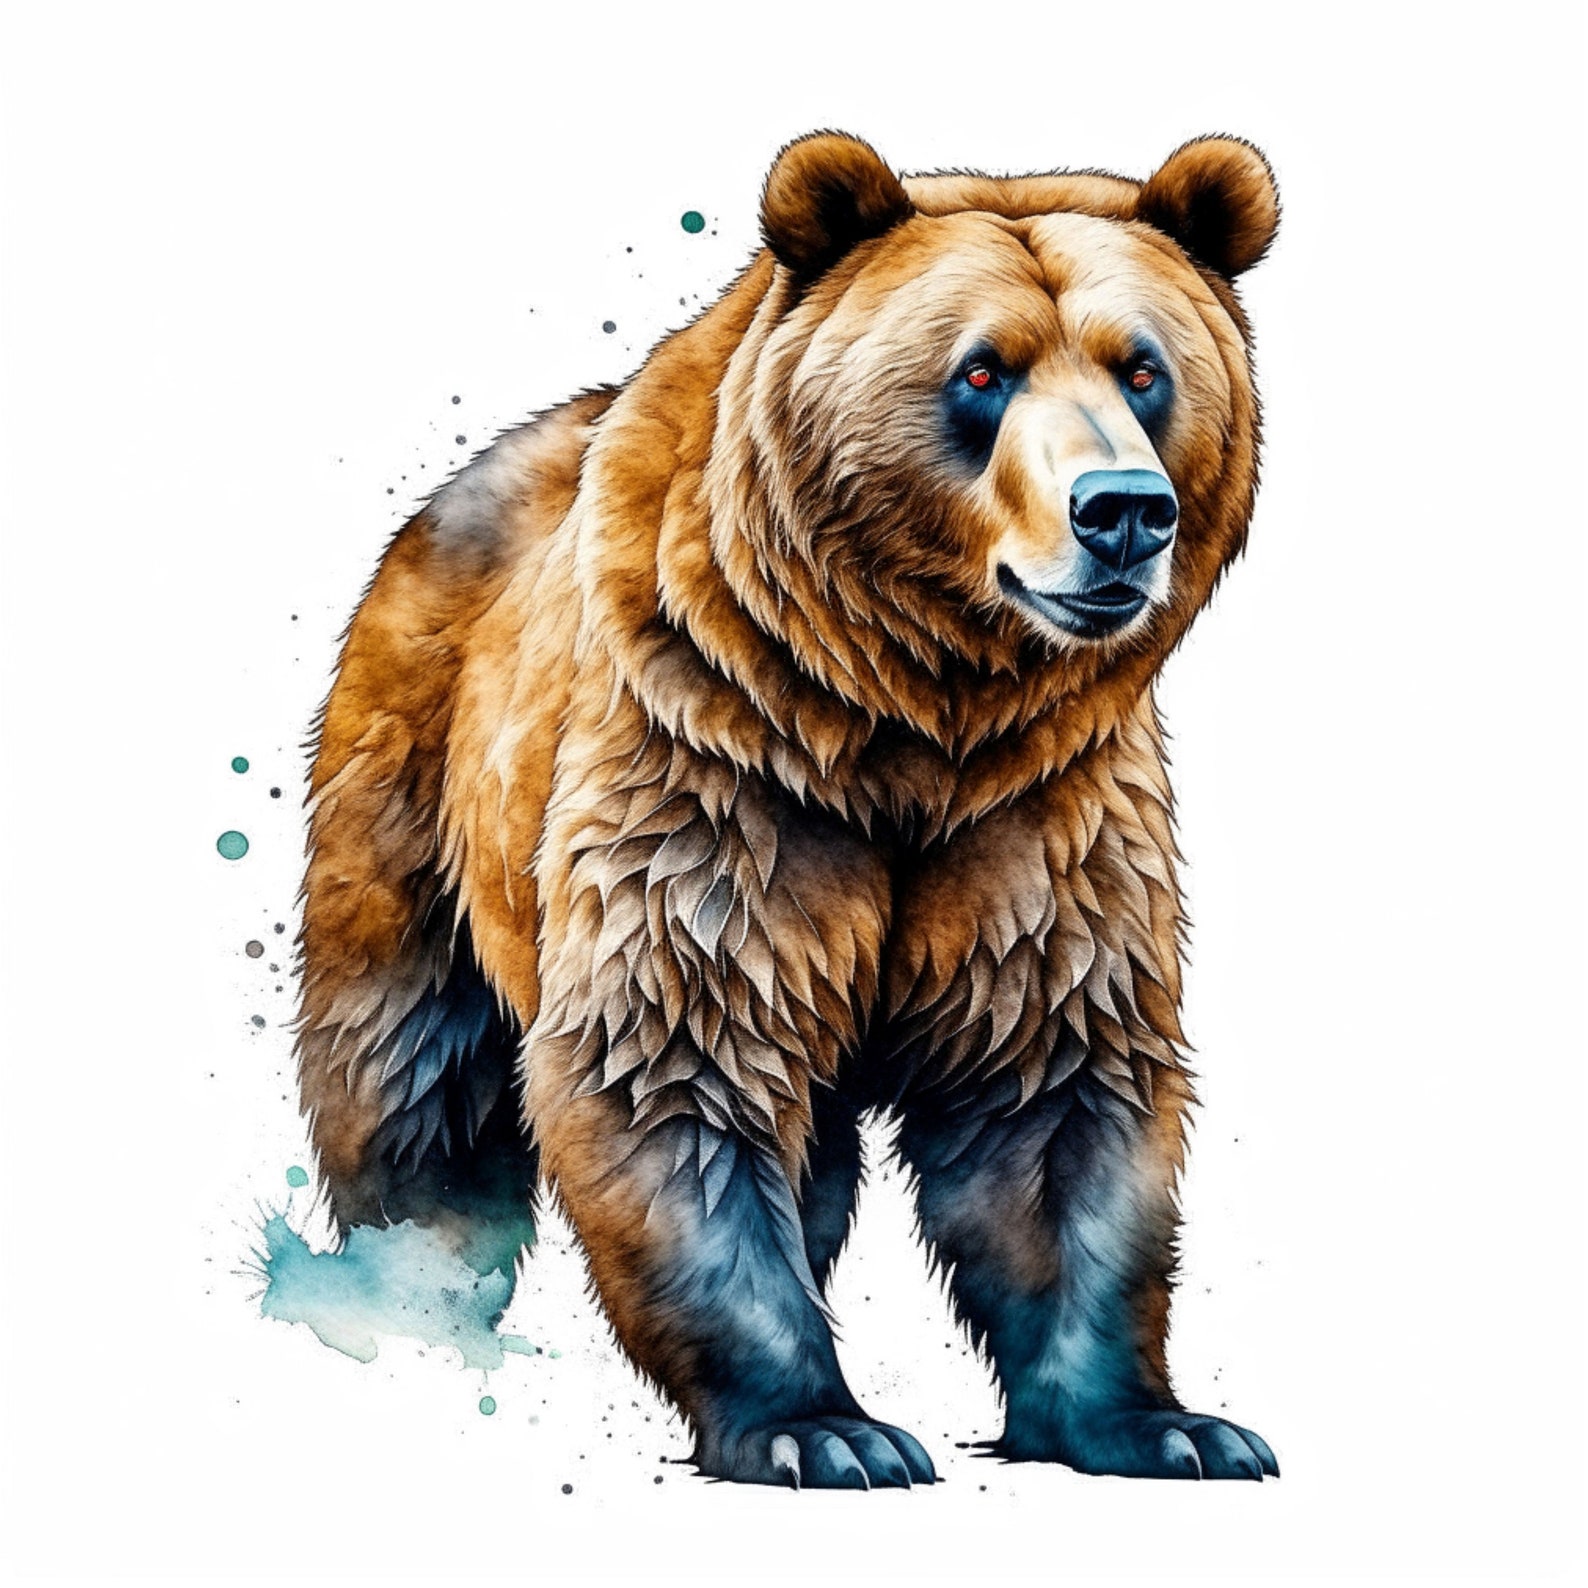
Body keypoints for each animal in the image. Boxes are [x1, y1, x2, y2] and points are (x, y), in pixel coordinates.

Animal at [293, 130, 1280, 1488]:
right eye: (982, 369)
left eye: (1143, 368)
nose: (1122, 511)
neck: (915, 721)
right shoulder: (712, 766)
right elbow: (677, 1056)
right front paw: (822, 1427)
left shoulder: (1042, 820)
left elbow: (1054, 1091)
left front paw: (1163, 1421)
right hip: (416, 778)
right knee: (410, 1071)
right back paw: (411, 1297)